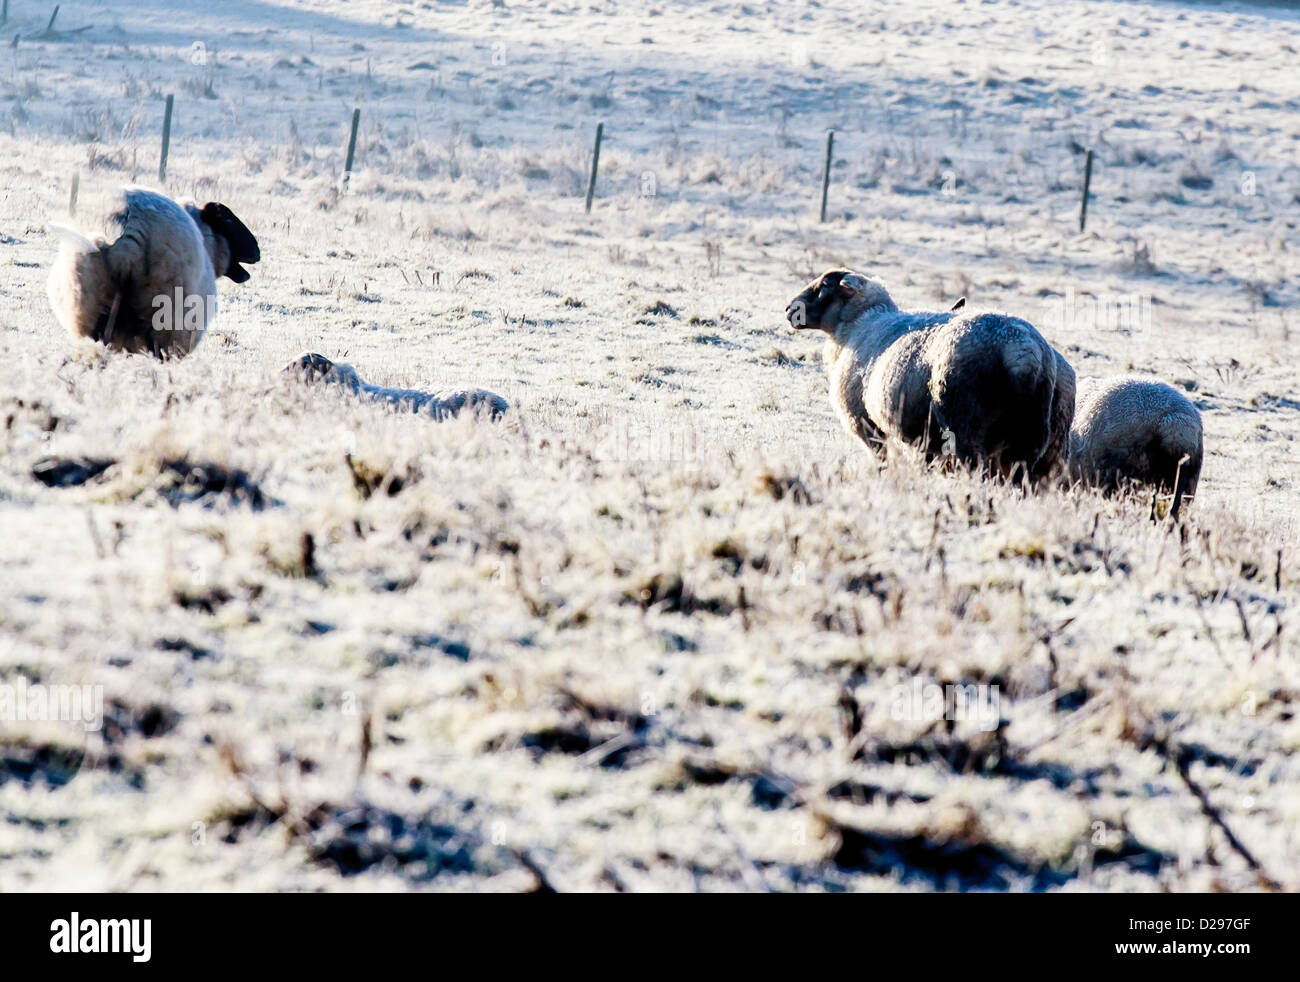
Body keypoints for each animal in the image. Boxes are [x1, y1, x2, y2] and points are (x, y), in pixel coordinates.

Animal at [47, 186, 259, 359]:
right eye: (228, 219)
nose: (257, 251)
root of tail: (131, 226)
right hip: (166, 314)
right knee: (158, 352)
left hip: (90, 303)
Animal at [785, 268, 1075, 480]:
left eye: (824, 286)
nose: (790, 309)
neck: (858, 324)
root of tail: (1021, 349)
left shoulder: (866, 425)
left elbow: (882, 461)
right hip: (1036, 436)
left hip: (964, 424)